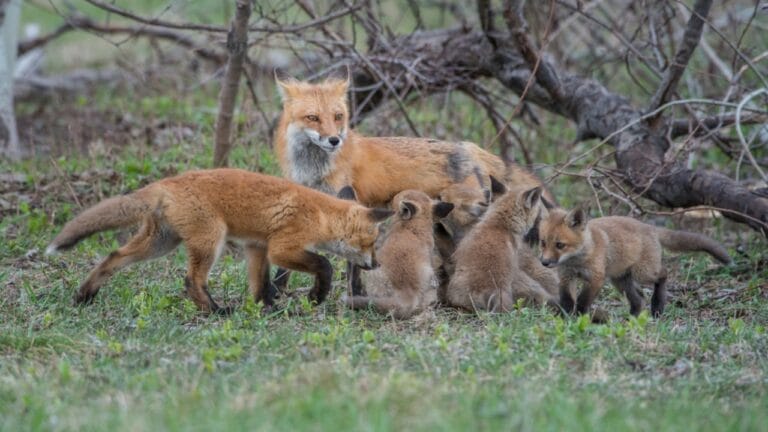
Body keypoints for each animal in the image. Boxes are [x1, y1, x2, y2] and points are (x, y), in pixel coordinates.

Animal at [45, 169, 392, 314]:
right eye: (373, 241)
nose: (376, 264)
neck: (321, 214)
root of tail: (166, 183)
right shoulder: (281, 248)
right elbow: (323, 265)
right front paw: (316, 296)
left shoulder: (257, 247)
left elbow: (260, 285)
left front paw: (267, 308)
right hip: (210, 240)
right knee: (191, 281)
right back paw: (216, 310)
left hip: (160, 244)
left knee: (112, 257)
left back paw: (85, 294)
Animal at [538, 207, 732, 317]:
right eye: (543, 243)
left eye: (560, 245)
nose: (544, 262)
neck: (578, 260)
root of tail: (650, 227)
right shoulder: (566, 278)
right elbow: (567, 300)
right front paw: (565, 318)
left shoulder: (596, 278)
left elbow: (583, 300)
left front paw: (578, 316)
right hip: (620, 280)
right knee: (638, 299)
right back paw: (632, 318)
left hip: (643, 273)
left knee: (664, 273)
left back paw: (657, 305)